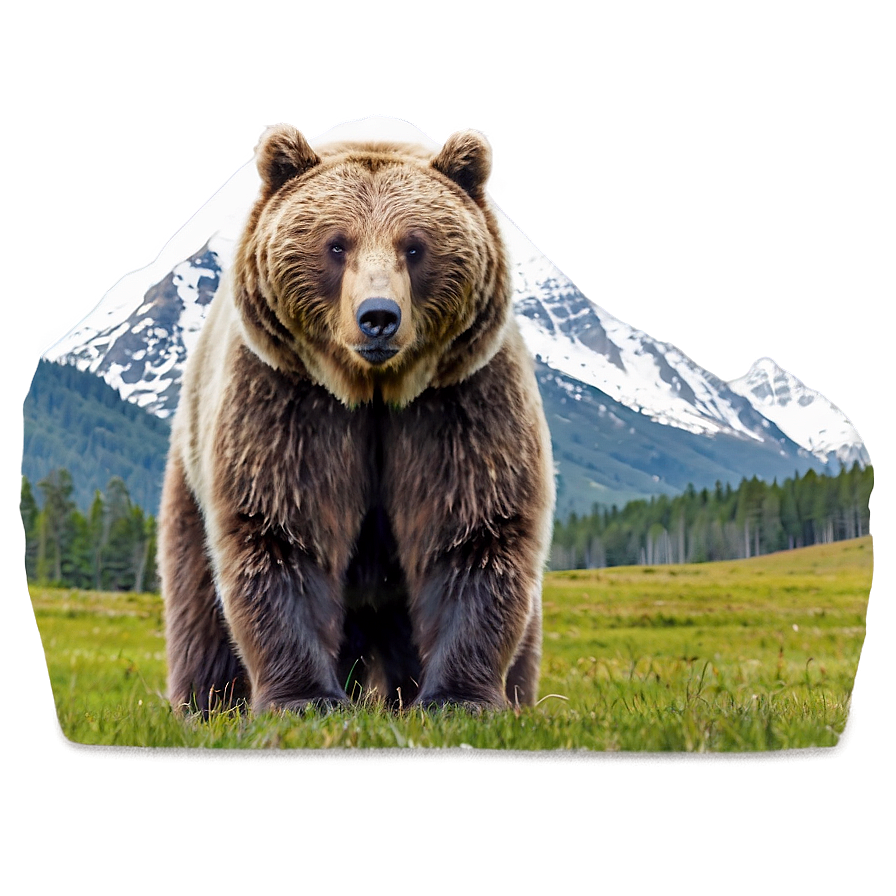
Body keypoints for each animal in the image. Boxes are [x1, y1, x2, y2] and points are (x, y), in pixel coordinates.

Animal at [158, 122, 555, 716]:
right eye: (336, 244)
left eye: (414, 245)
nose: (378, 317)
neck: (373, 393)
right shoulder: (288, 401)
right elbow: (282, 532)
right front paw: (304, 699)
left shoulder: (459, 403)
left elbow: (473, 531)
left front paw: (458, 700)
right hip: (191, 471)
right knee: (198, 598)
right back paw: (209, 703)